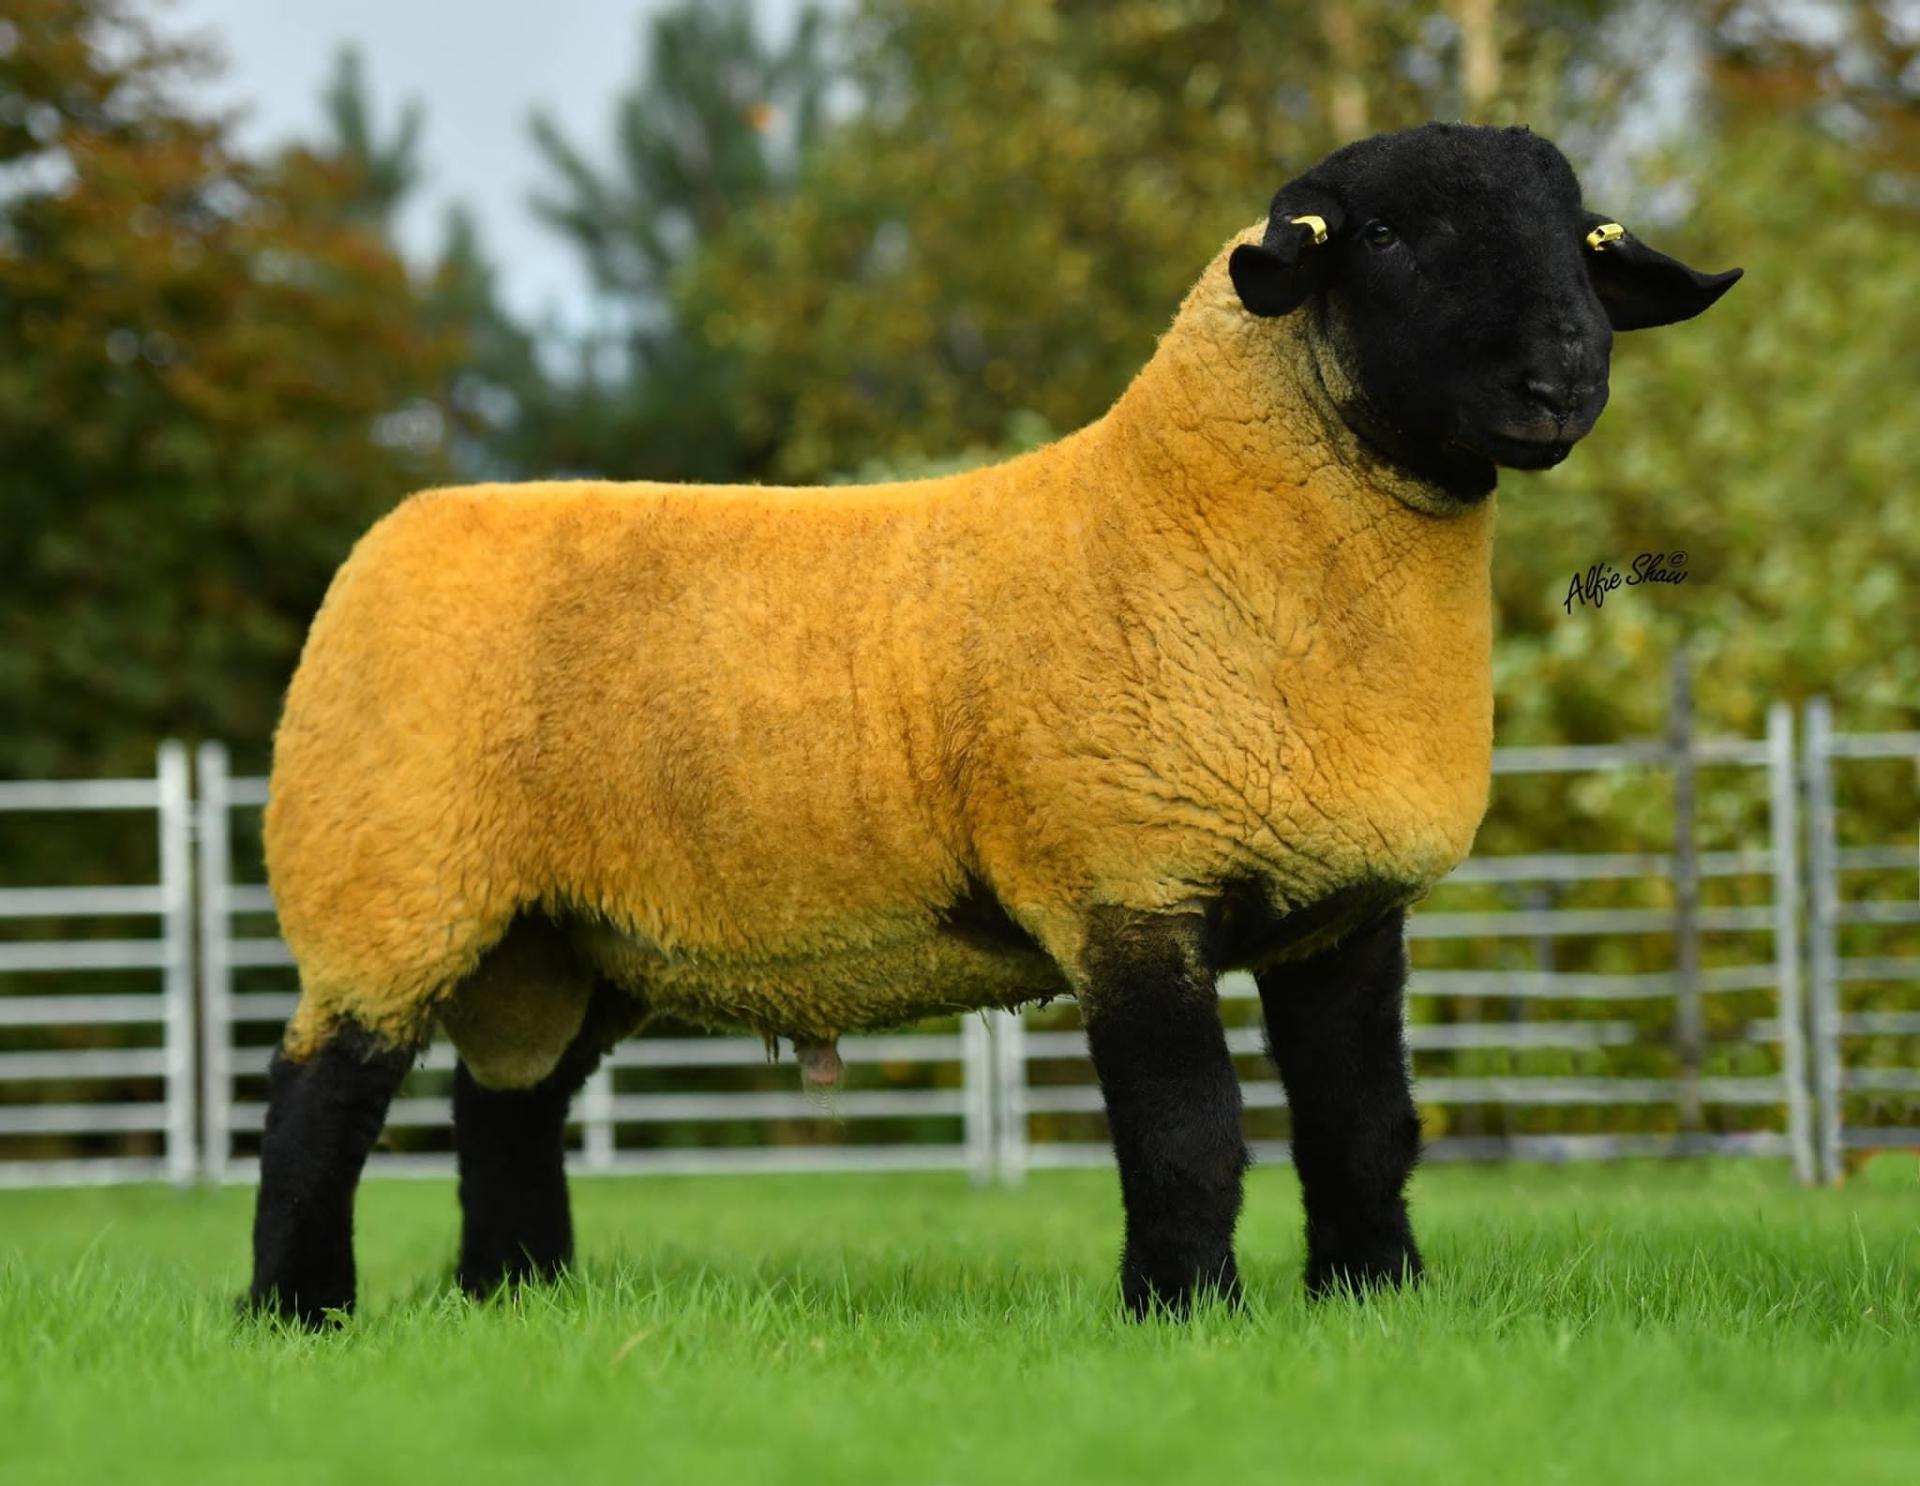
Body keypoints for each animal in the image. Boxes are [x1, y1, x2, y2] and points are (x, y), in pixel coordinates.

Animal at [248, 122, 1740, 1325]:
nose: (1563, 375)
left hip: (558, 938)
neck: (1197, 518)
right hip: (389, 882)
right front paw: (1186, 1312)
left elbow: (1364, 1128)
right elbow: (1190, 1134)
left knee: (505, 1111)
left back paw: (514, 1299)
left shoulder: (1341, 909)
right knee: (317, 1103)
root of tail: (401, 529)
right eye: (1381, 234)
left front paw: (1377, 1301)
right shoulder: (1127, 880)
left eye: (1581, 237)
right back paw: (301, 1312)